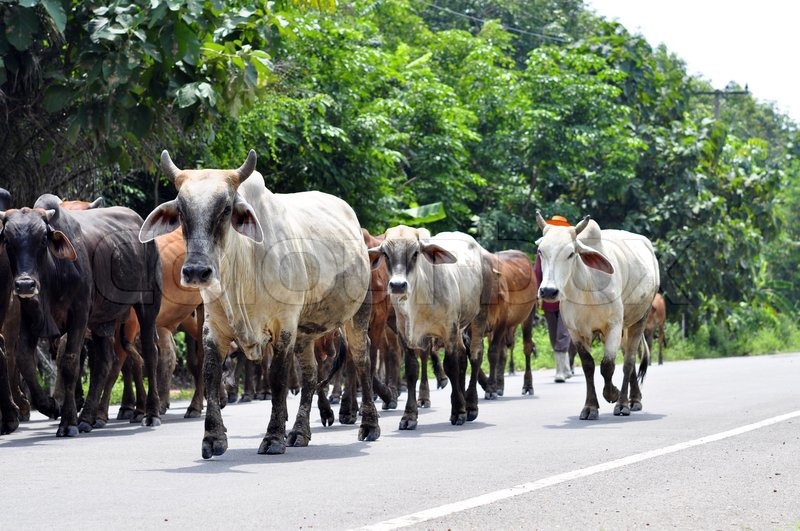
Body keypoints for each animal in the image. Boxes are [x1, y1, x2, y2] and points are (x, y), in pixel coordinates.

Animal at [0, 195, 162, 436]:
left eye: (42, 240)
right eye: (9, 242)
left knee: (150, 354)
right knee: (105, 362)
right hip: (102, 322)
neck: (54, 273)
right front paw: (51, 406)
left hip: (147, 309)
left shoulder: (79, 315)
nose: (25, 284)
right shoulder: (31, 317)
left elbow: (69, 363)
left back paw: (151, 414)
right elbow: (24, 360)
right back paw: (87, 418)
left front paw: (68, 422)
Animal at [139, 150, 377, 458]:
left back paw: (369, 426)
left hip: (357, 315)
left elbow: (278, 379)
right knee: (311, 374)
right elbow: (210, 373)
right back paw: (300, 432)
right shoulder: (214, 325)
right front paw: (213, 438)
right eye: (181, 210)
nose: (196, 271)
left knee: (362, 360)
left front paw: (273, 437)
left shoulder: (283, 325)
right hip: (305, 332)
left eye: (226, 209)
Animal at [368, 225, 492, 429]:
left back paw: (471, 405)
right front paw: (409, 416)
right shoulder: (405, 334)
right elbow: (412, 370)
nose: (398, 285)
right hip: (459, 329)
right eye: (385, 253)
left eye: (415, 253)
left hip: (478, 317)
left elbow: (450, 366)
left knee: (475, 355)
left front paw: (458, 411)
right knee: (463, 357)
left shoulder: (449, 330)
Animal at [535, 212, 659, 419]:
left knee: (629, 360)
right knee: (629, 358)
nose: (548, 291)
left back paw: (626, 403)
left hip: (640, 318)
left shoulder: (614, 326)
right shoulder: (575, 332)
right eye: (540, 251)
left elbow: (607, 365)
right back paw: (633, 399)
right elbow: (588, 366)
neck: (587, 287)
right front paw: (590, 407)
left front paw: (612, 394)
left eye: (571, 253)